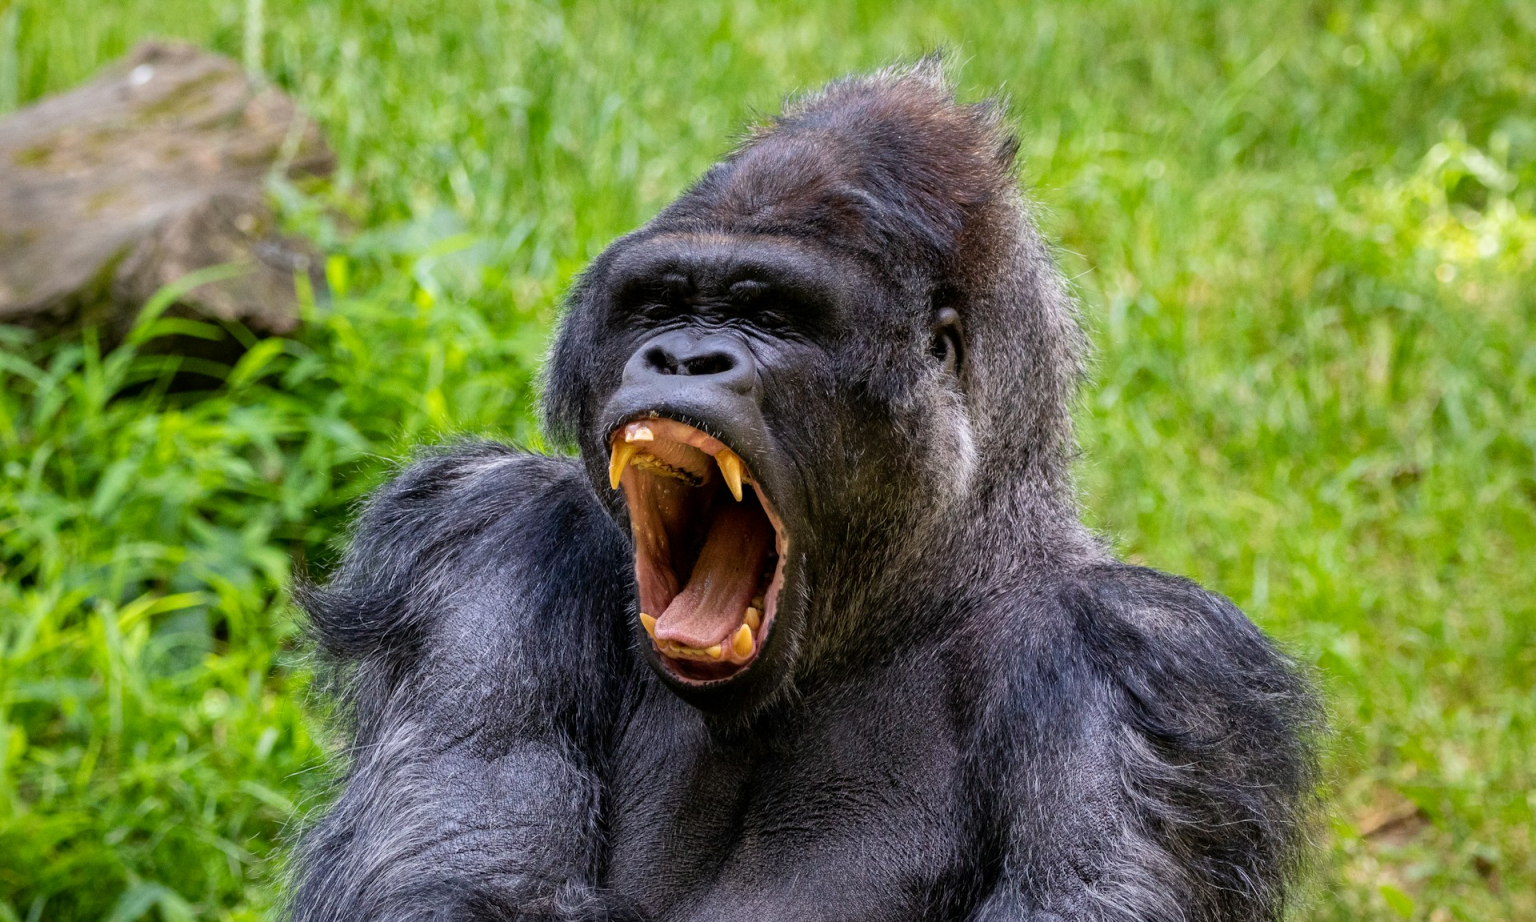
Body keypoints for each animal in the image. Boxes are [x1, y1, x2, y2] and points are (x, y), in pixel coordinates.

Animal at [289, 60, 1319, 922]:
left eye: (771, 315)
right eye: (661, 305)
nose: (684, 357)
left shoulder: (1143, 662)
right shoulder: (492, 541)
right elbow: (468, 877)